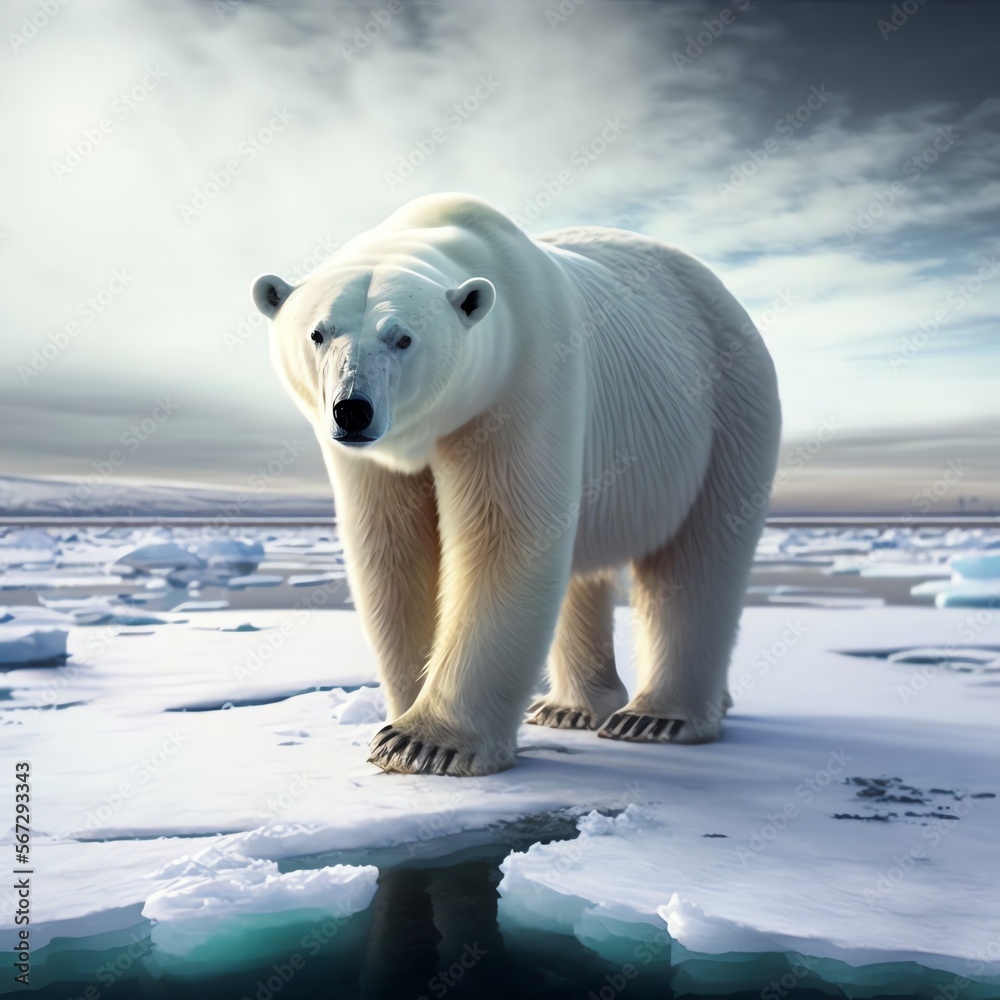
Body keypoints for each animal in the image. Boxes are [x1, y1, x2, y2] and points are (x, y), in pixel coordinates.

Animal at [251, 192, 781, 777]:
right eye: (318, 334)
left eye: (403, 337)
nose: (352, 410)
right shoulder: (373, 462)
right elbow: (392, 551)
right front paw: (401, 714)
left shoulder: (522, 381)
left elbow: (504, 536)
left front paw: (421, 744)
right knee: (586, 568)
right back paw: (572, 708)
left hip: (725, 409)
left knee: (698, 556)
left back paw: (657, 718)